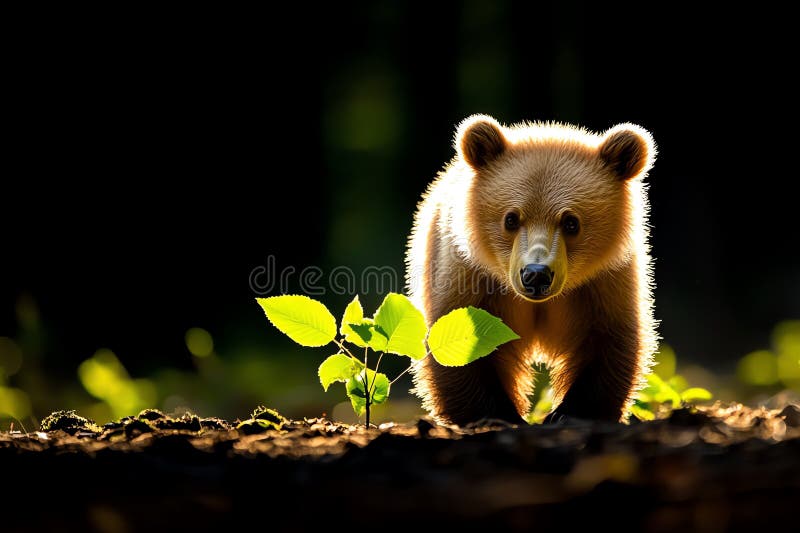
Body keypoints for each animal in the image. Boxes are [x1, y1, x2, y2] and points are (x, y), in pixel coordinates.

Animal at [406, 114, 658, 425]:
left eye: (571, 222)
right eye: (511, 219)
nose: (536, 274)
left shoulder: (604, 284)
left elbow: (610, 342)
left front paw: (568, 413)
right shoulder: (470, 275)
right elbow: (463, 347)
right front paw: (499, 415)